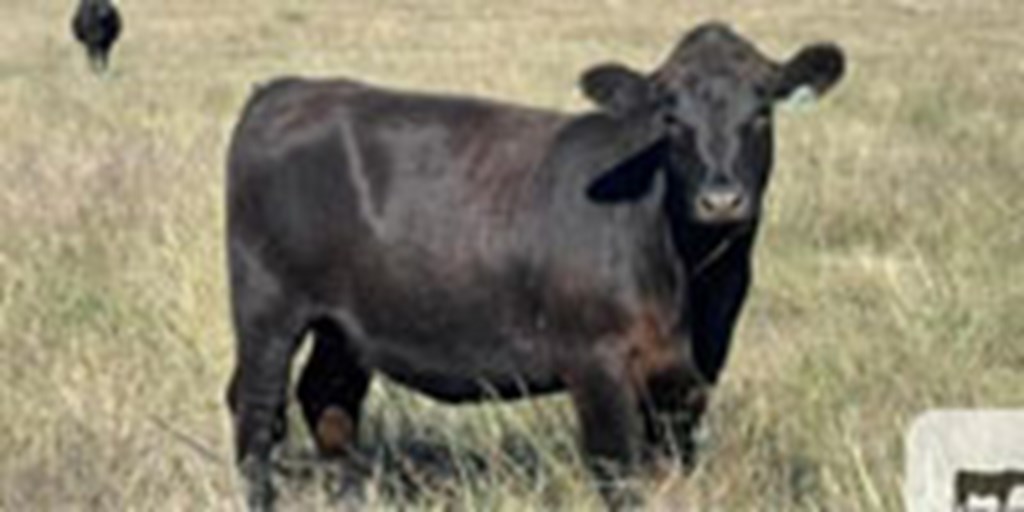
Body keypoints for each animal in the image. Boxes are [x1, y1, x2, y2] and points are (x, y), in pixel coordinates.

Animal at [224, 22, 845, 510]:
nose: (721, 199)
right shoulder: (595, 364)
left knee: (329, 402)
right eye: (669, 117)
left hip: (346, 325)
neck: (688, 277)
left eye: (762, 110)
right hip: (266, 307)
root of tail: (287, 88)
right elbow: (619, 476)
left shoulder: (692, 376)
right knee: (257, 413)